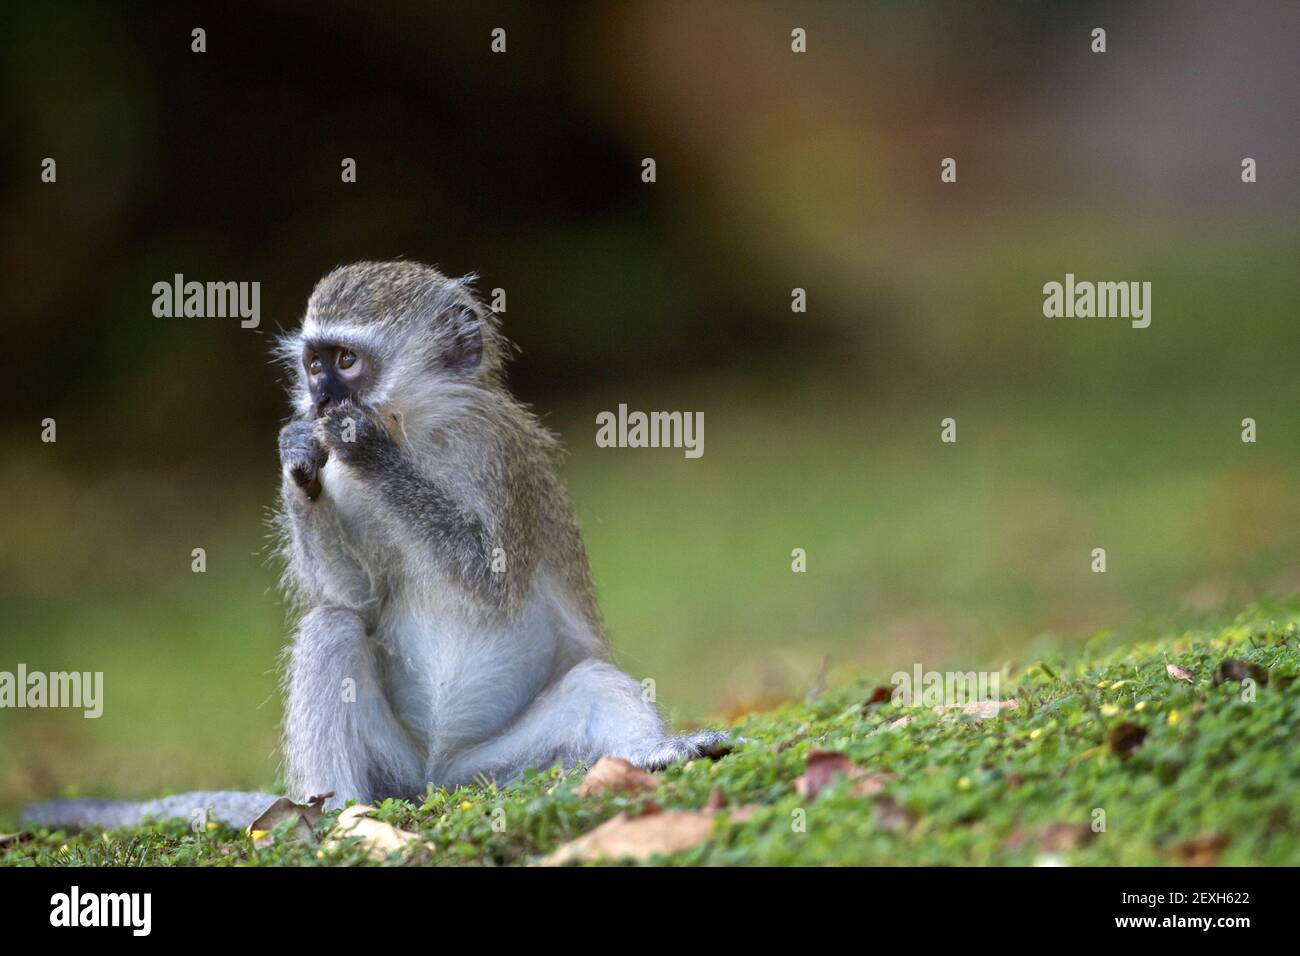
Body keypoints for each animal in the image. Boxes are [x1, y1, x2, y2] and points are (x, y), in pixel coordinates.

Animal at [23, 262, 727, 831]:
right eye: (314, 364)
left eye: (347, 362)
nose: (320, 398)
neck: (416, 431)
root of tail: (435, 780)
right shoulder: (345, 484)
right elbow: (355, 599)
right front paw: (298, 461)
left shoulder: (498, 454)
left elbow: (492, 579)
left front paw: (362, 443)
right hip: (396, 768)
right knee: (332, 627)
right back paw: (335, 816)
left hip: (502, 770)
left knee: (592, 683)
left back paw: (654, 754)